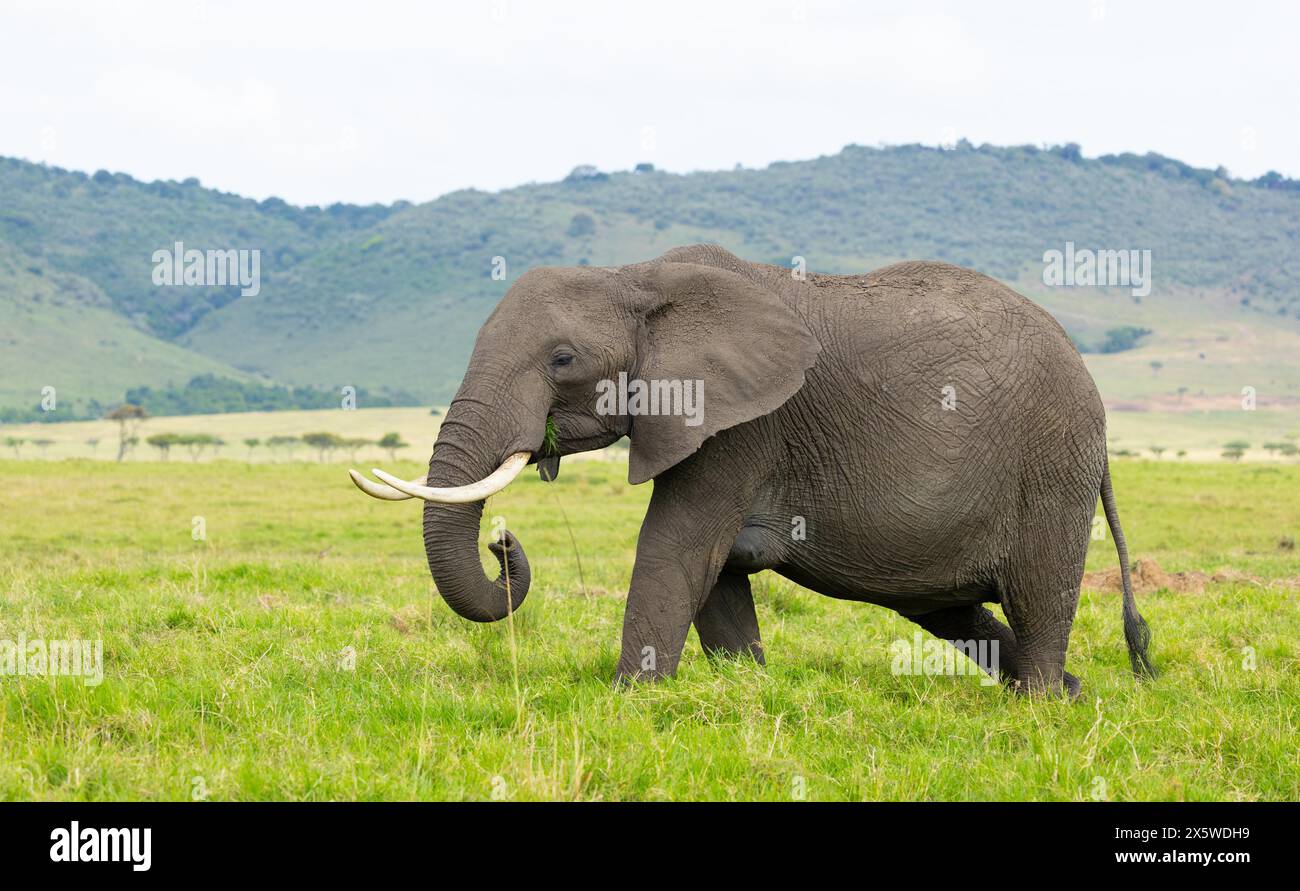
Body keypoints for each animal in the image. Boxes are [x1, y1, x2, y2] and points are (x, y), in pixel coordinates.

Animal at [350, 244, 1155, 696]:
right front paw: (744, 692)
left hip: (1052, 461)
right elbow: (715, 577)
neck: (637, 277)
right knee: (956, 612)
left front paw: (626, 702)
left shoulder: (742, 426)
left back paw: (1041, 706)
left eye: (562, 360)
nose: (503, 541)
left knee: (1038, 594)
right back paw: (1077, 694)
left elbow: (675, 548)